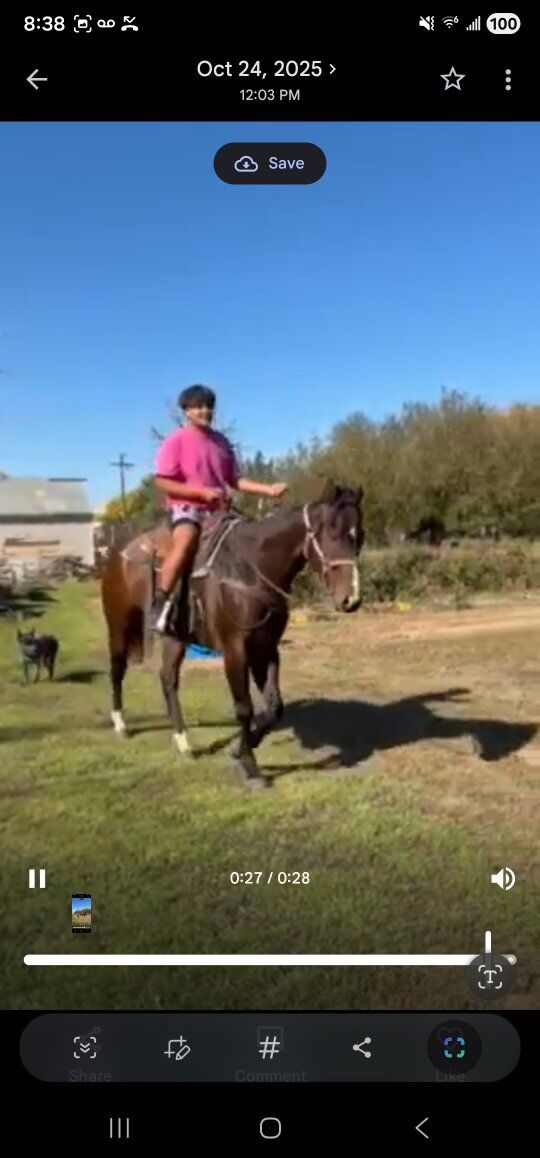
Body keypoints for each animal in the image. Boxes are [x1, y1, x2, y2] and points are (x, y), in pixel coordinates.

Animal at [100, 481, 364, 788]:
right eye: (333, 532)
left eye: (360, 536)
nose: (351, 599)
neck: (250, 571)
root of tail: (118, 552)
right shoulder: (235, 651)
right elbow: (244, 707)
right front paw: (250, 766)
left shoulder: (266, 648)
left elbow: (274, 707)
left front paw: (238, 748)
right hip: (119, 624)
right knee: (117, 668)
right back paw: (121, 724)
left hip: (175, 638)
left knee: (168, 679)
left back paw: (184, 743)